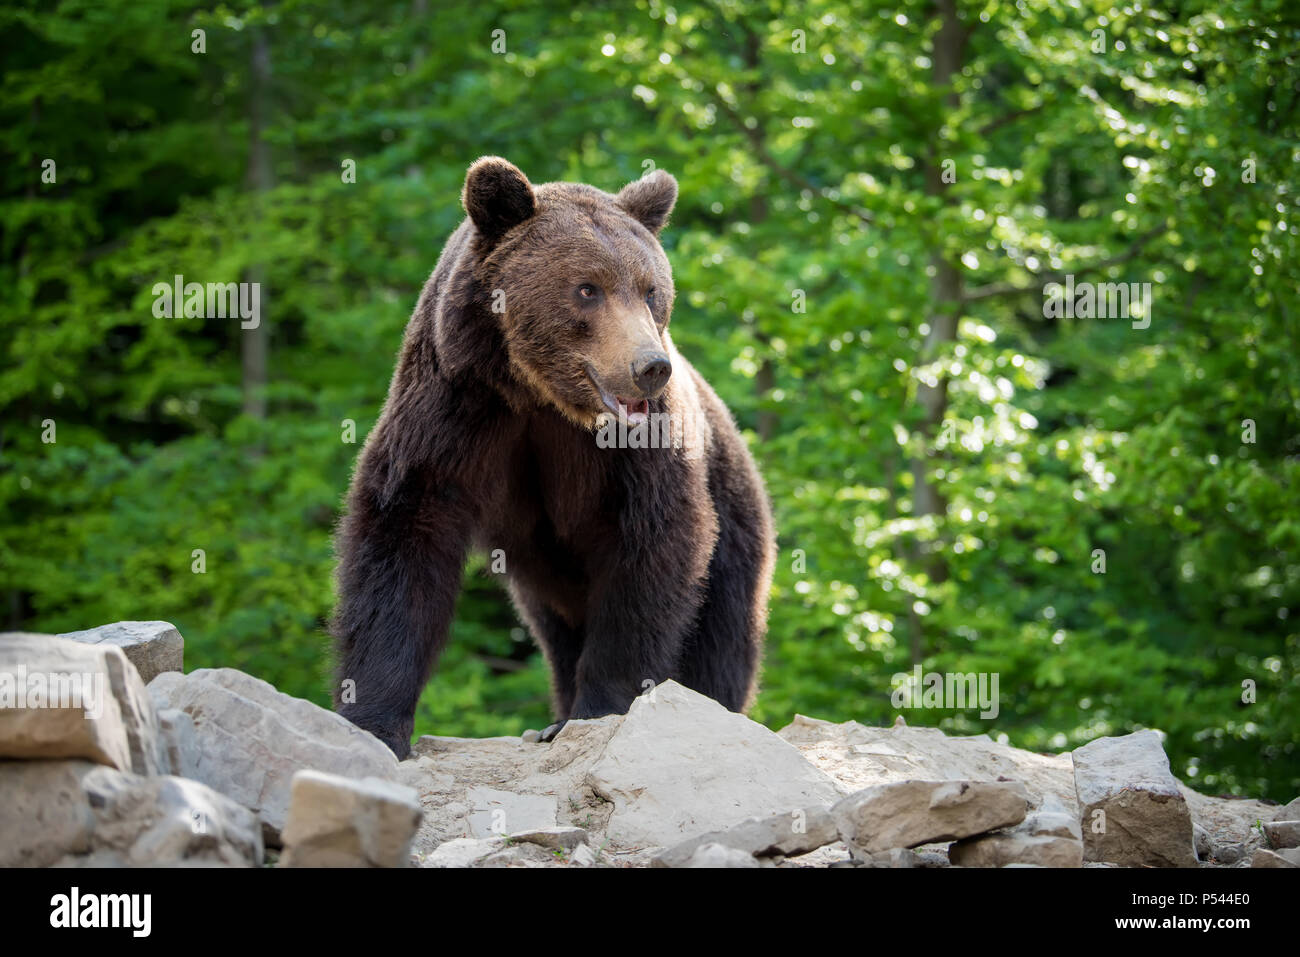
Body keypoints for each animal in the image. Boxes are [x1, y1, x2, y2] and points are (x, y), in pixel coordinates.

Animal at [331, 156, 776, 758]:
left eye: (650, 289)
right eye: (587, 288)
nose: (650, 366)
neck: (541, 396)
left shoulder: (637, 452)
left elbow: (652, 549)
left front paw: (600, 709)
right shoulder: (454, 410)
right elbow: (403, 535)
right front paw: (374, 721)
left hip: (735, 520)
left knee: (720, 636)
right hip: (543, 581)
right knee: (559, 631)